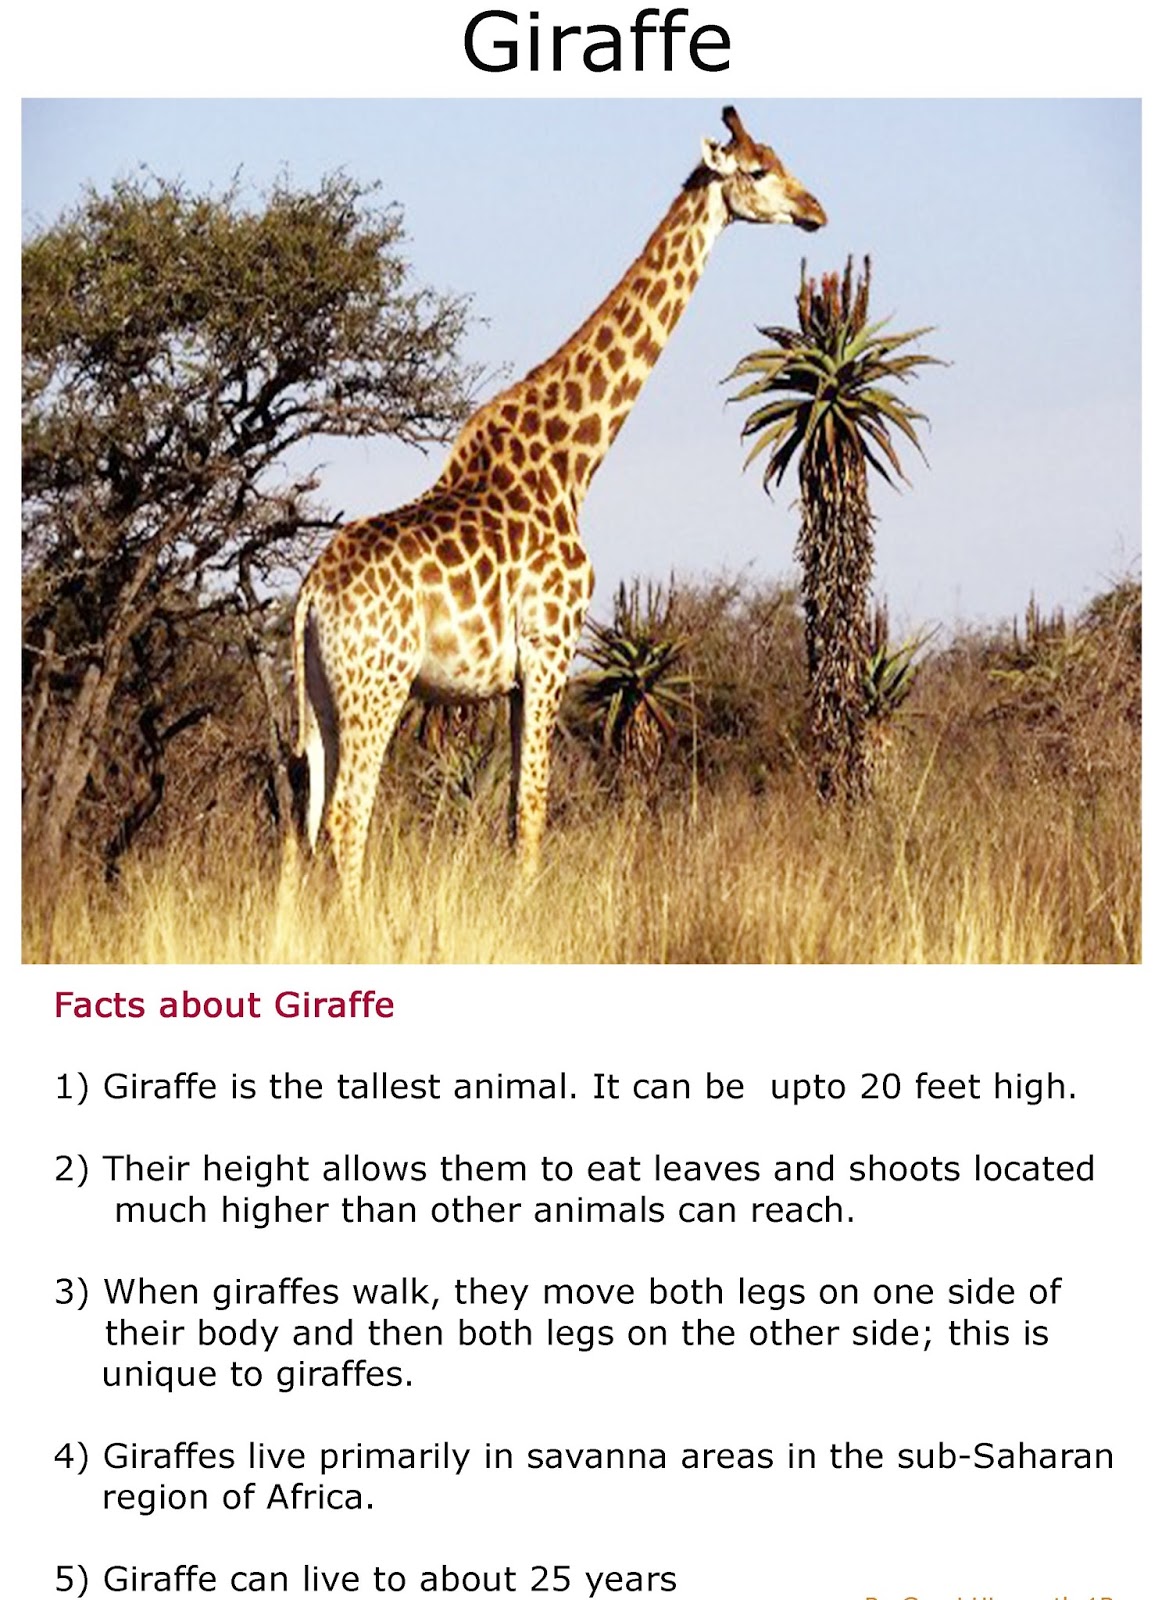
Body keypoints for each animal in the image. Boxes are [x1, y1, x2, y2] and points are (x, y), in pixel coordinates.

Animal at [292, 106, 825, 897]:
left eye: (782, 158)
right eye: (758, 170)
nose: (815, 210)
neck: (572, 462)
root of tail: (309, 594)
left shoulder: (518, 678)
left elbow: (517, 811)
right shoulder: (550, 650)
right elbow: (533, 811)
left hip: (323, 696)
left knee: (302, 824)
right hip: (377, 685)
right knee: (346, 818)